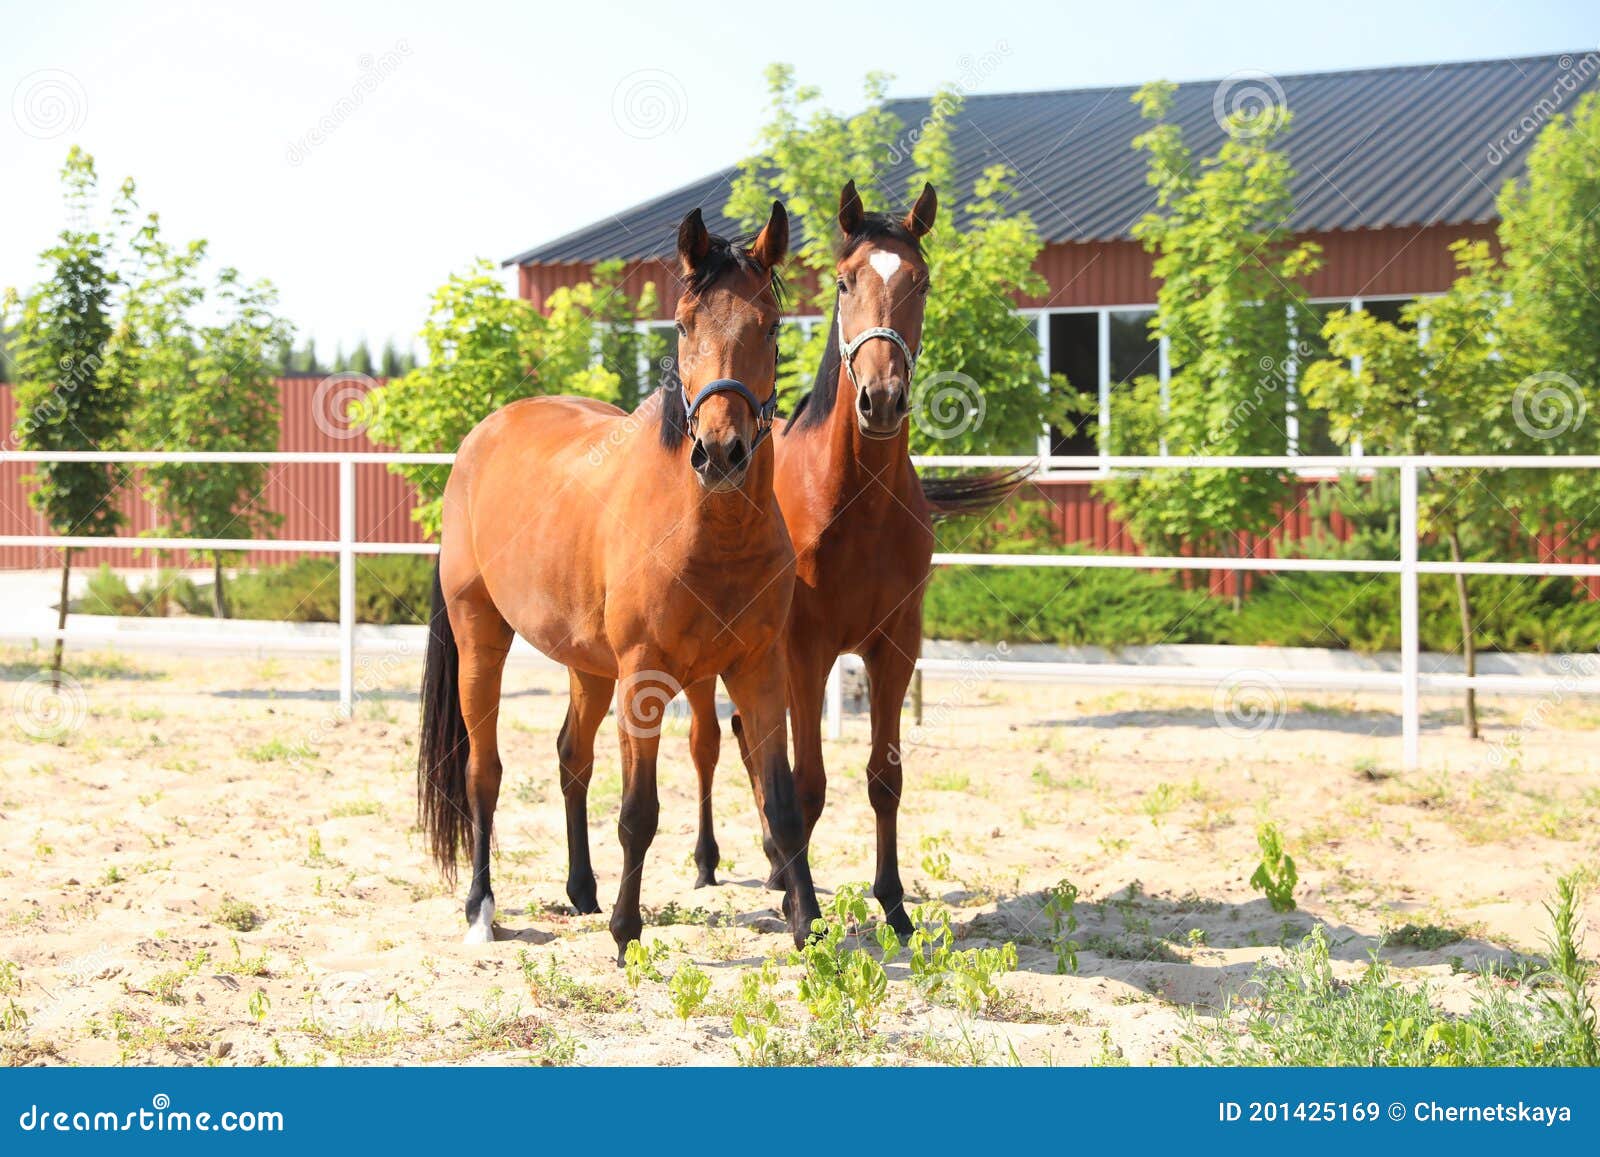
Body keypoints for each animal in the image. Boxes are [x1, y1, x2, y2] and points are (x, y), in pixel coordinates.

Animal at [416, 201, 823, 961]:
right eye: (685, 323)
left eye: (772, 325)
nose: (721, 452)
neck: (709, 529)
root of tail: (479, 439)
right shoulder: (645, 676)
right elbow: (639, 811)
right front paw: (627, 931)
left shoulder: (759, 670)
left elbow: (781, 803)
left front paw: (807, 925)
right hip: (482, 635)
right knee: (484, 772)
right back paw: (482, 908)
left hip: (588, 666)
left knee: (571, 758)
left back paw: (581, 889)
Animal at [683, 180, 1025, 935]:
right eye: (844, 282)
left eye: (921, 281)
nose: (882, 399)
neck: (856, 502)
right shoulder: (805, 649)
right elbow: (808, 782)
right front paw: (798, 901)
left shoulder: (894, 645)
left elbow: (882, 777)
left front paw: (892, 902)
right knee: (710, 741)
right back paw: (709, 860)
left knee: (746, 737)